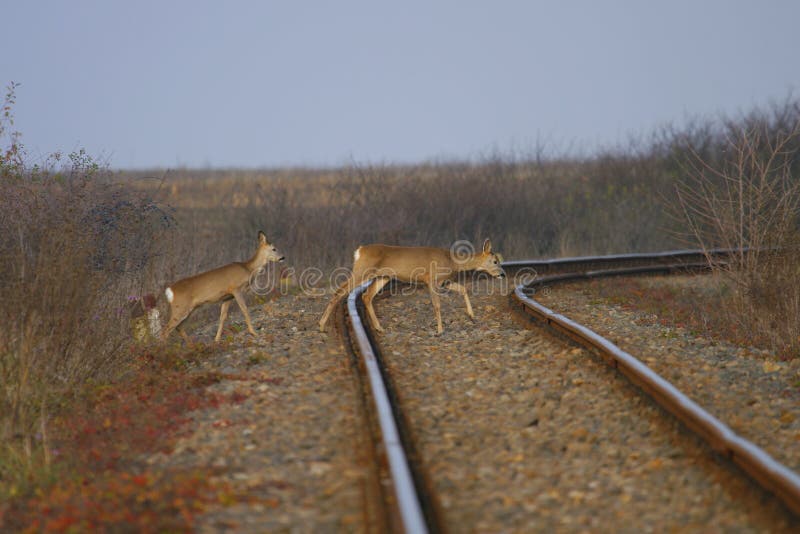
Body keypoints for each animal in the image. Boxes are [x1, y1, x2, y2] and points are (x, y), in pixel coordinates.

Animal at [318, 239, 505, 335]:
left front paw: (472, 316)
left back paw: (379, 328)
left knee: (367, 296)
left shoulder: (444, 281)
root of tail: (359, 251)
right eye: (495, 261)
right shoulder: (431, 279)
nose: (502, 274)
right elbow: (437, 304)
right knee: (340, 291)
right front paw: (440, 330)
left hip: (383, 277)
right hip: (362, 270)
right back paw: (321, 325)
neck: (453, 261)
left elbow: (464, 289)